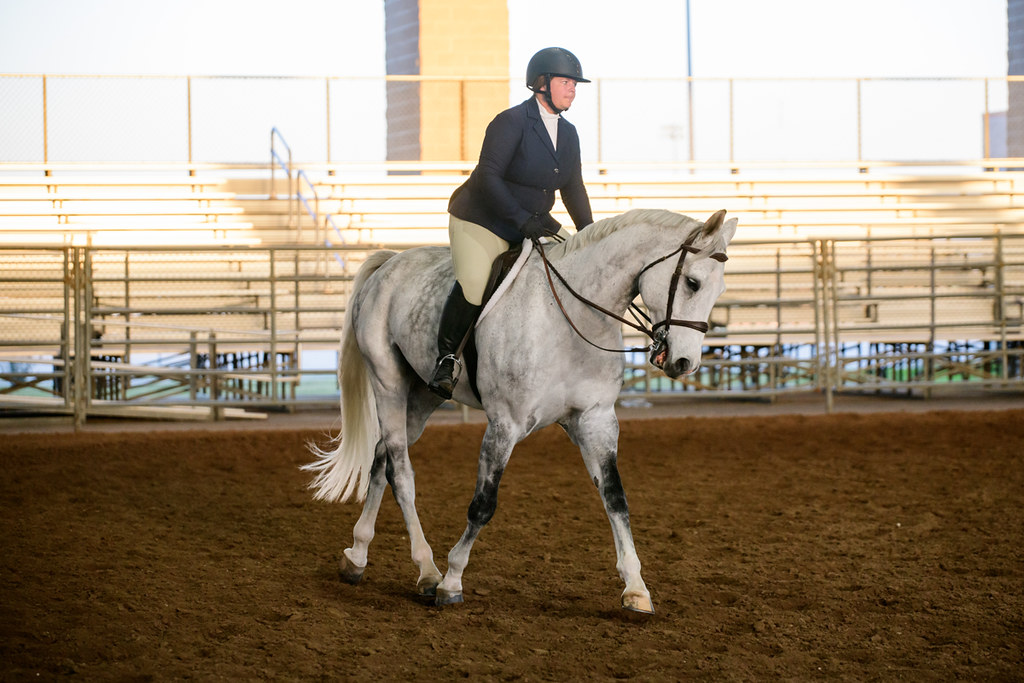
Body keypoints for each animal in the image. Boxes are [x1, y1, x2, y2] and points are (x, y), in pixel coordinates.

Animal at [303, 208, 737, 614]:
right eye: (692, 282)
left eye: (719, 288)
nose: (684, 363)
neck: (574, 318)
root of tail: (390, 263)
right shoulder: (505, 425)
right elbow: (483, 505)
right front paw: (452, 581)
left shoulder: (596, 421)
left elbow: (615, 498)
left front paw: (636, 589)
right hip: (388, 384)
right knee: (402, 472)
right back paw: (427, 571)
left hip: (424, 395)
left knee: (383, 460)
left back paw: (357, 557)